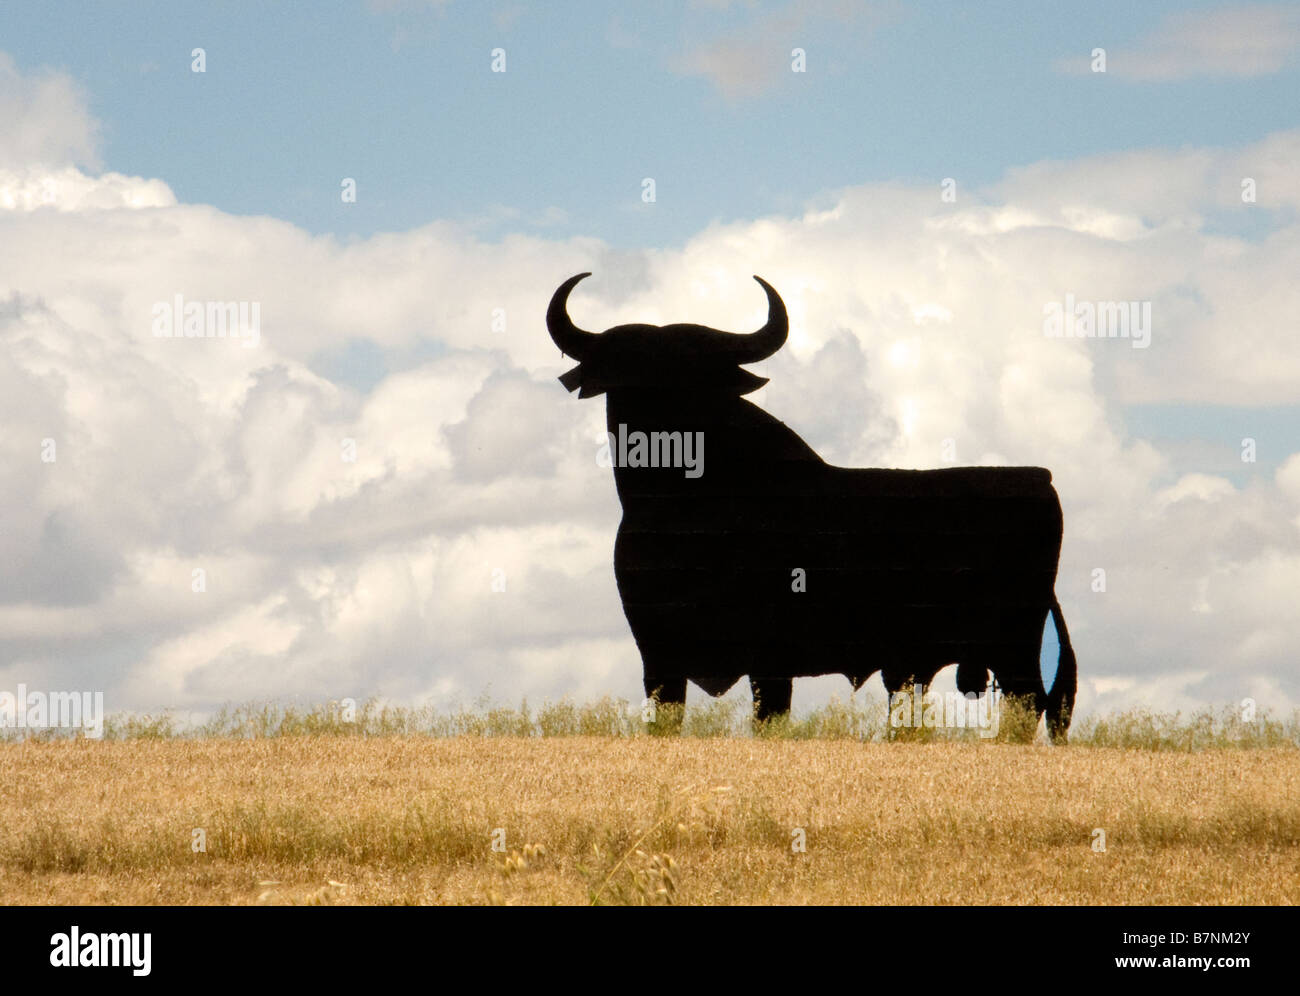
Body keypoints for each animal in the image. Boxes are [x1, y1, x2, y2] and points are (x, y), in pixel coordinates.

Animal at [547, 273, 1077, 741]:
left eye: (695, 374)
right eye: (627, 373)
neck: (685, 509)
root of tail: (1040, 478)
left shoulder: (770, 653)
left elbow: (768, 717)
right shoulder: (658, 653)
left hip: (1013, 640)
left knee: (1027, 701)